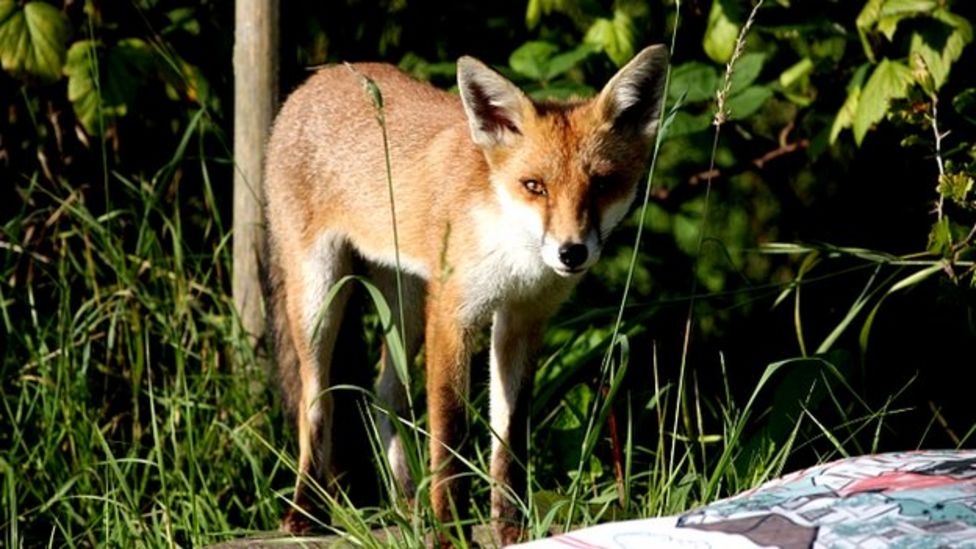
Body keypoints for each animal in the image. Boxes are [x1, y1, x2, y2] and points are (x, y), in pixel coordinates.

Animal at [263, 44, 668, 544]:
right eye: (535, 186)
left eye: (602, 184)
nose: (571, 252)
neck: (513, 255)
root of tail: (319, 77)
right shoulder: (453, 317)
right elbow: (449, 434)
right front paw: (448, 532)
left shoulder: (521, 320)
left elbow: (510, 437)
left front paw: (511, 528)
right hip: (319, 298)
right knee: (317, 401)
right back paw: (305, 509)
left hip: (406, 306)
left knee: (385, 395)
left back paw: (407, 503)